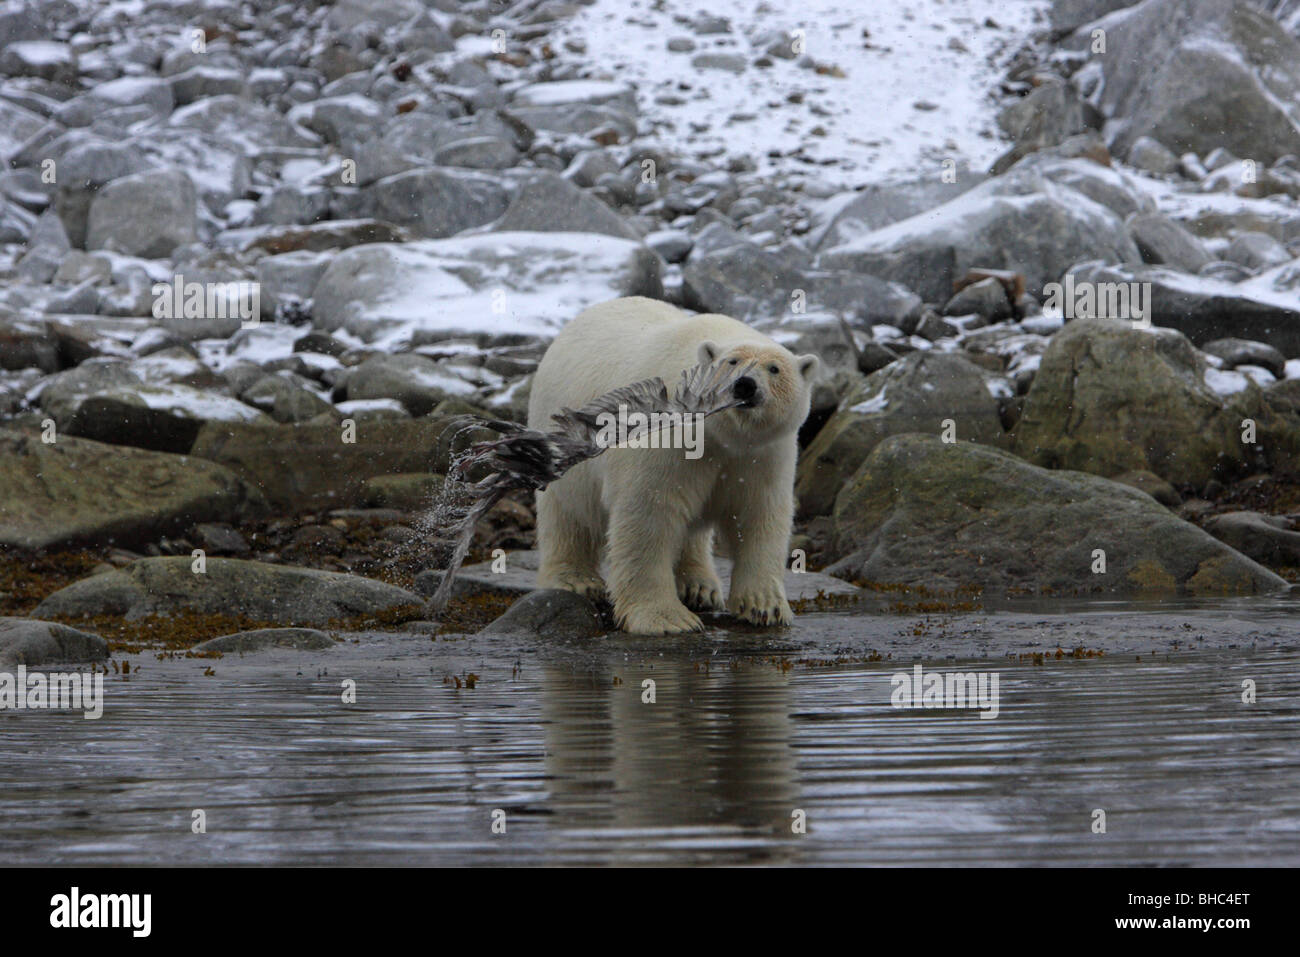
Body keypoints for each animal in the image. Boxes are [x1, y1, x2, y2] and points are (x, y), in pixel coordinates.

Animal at [527, 296, 820, 635]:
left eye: (774, 368)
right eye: (731, 362)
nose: (745, 386)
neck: (722, 435)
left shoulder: (762, 455)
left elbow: (758, 515)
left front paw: (765, 607)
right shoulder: (669, 440)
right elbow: (649, 513)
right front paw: (667, 619)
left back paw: (699, 586)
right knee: (567, 514)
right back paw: (575, 581)